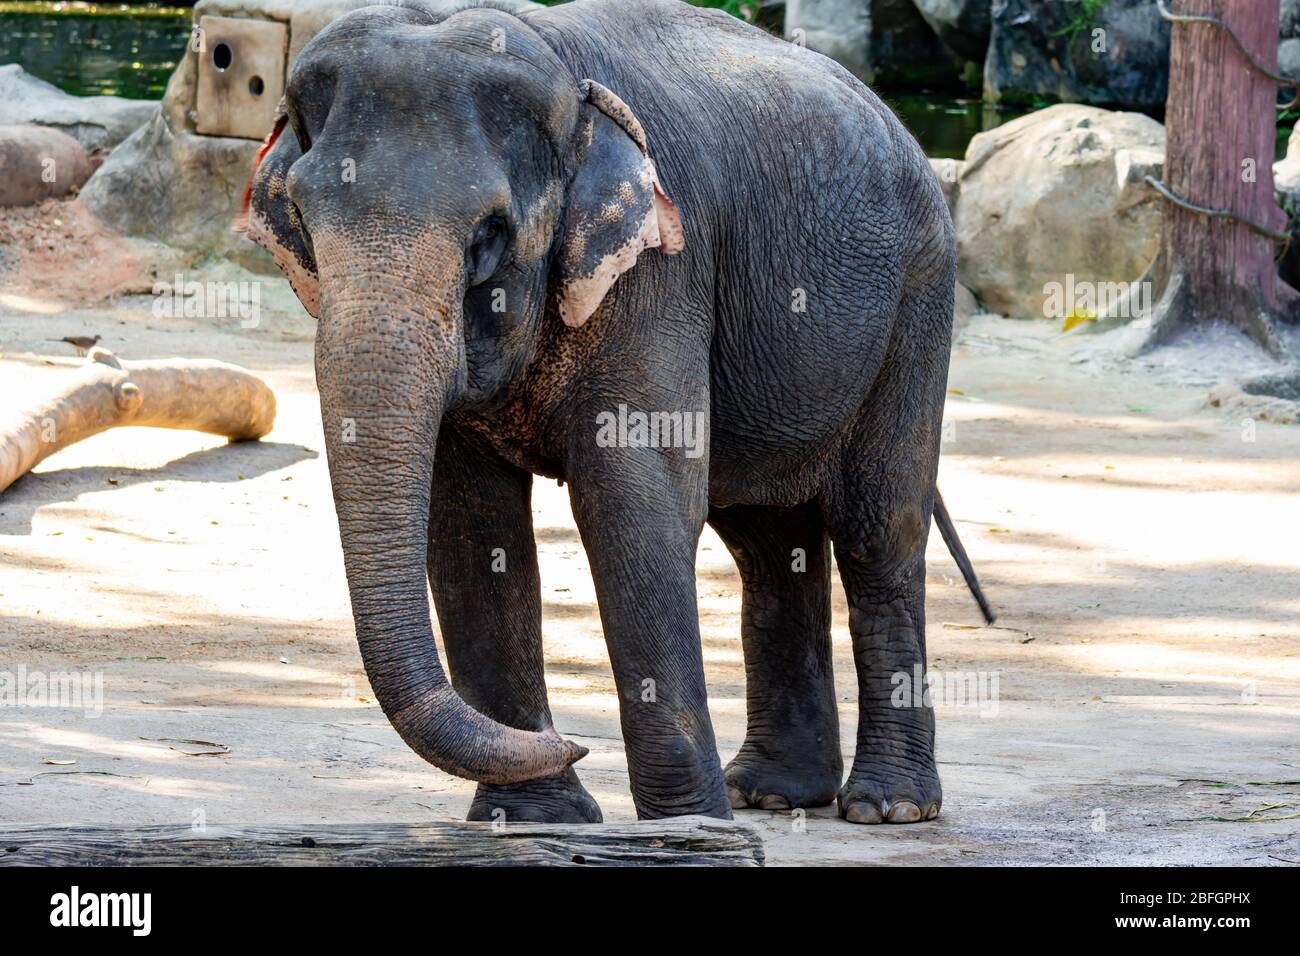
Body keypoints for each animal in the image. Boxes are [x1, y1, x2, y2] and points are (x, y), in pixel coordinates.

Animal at [242, 0, 991, 825]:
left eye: (488, 235)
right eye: (302, 218)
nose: (572, 744)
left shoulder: (661, 273)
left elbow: (633, 505)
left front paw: (688, 829)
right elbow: (471, 527)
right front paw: (534, 821)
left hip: (919, 300)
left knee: (877, 530)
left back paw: (887, 807)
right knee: (767, 538)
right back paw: (772, 792)